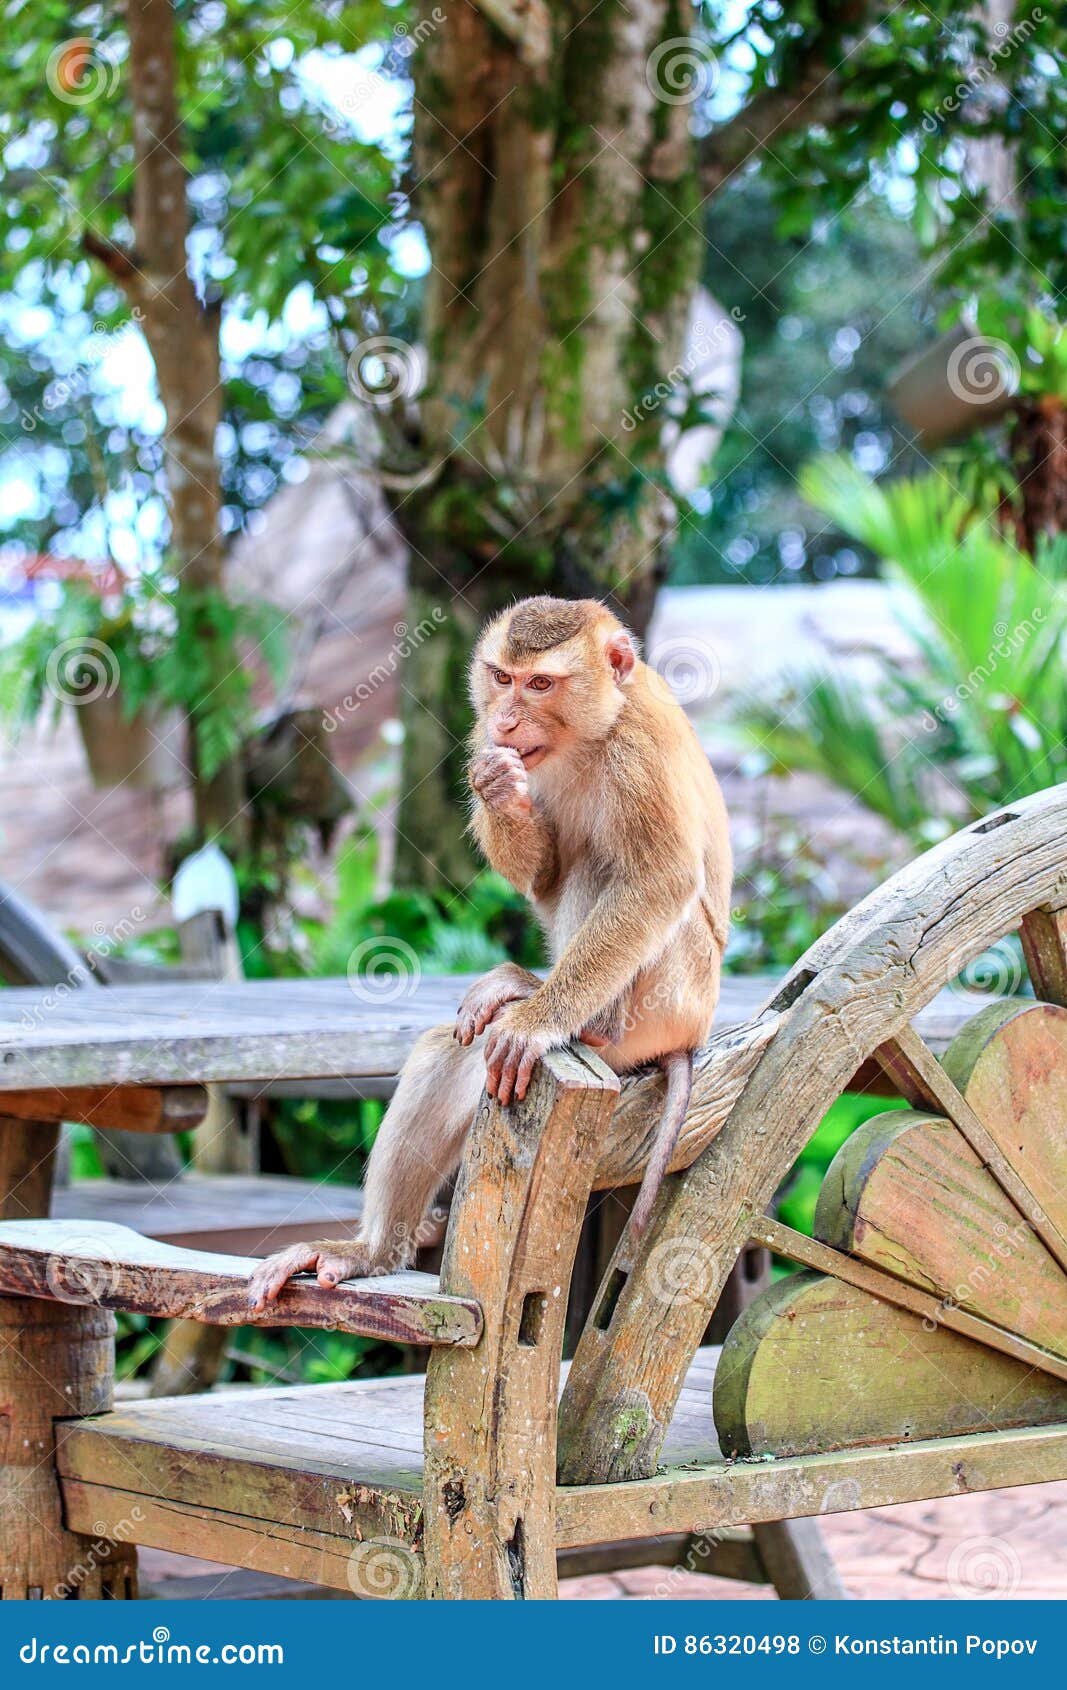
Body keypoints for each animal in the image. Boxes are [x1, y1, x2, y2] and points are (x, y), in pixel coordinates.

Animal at [247, 595, 731, 1312]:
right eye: (502, 677)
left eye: (542, 683)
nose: (505, 719)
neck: (588, 735)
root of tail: (695, 1035)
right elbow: (545, 872)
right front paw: (497, 787)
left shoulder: (638, 746)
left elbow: (659, 880)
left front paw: (536, 1023)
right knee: (453, 1051)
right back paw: (371, 1252)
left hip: (673, 1002)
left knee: (611, 868)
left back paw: (576, 1017)